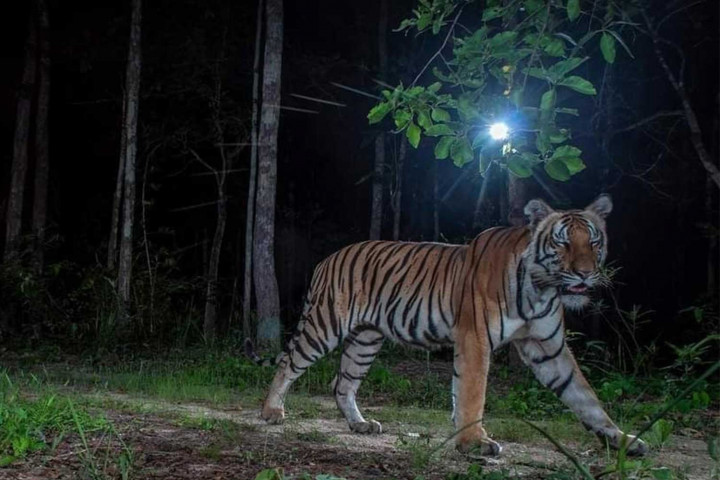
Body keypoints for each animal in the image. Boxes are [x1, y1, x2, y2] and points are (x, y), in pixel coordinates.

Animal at [254, 194, 648, 456]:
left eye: (593, 241)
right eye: (562, 242)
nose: (585, 273)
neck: (541, 288)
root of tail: (328, 258)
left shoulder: (547, 348)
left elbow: (584, 396)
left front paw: (622, 440)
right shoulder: (476, 337)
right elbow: (473, 391)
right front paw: (474, 443)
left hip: (365, 340)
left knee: (343, 383)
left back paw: (360, 424)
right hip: (325, 325)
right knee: (289, 362)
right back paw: (272, 412)